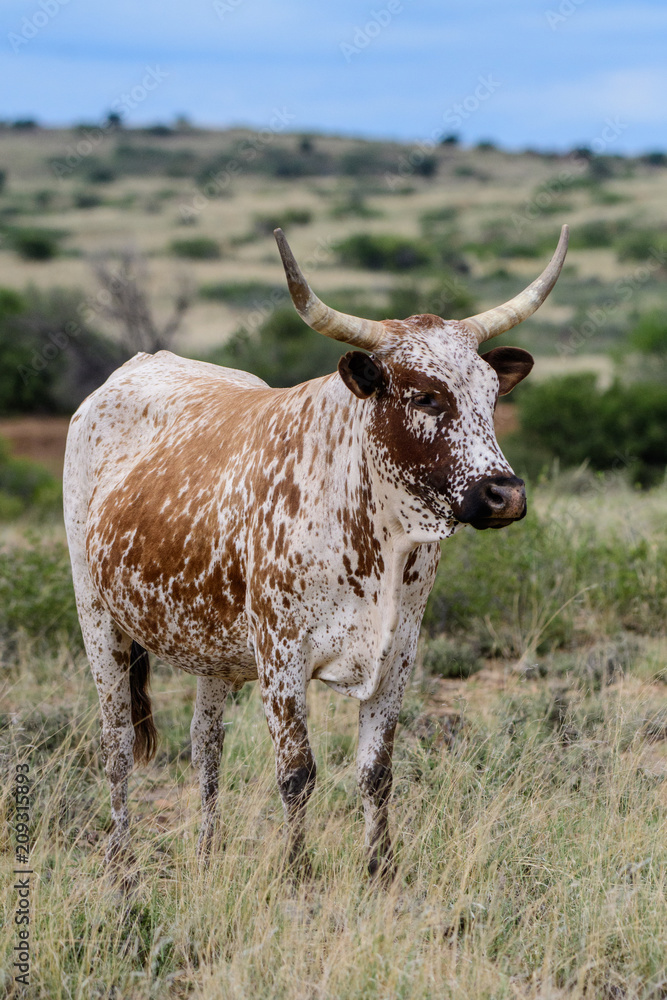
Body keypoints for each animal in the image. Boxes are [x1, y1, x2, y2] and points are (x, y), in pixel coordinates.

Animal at [63, 224, 568, 883]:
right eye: (426, 397)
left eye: (491, 394)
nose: (504, 493)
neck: (374, 541)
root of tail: (134, 368)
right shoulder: (281, 657)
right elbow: (297, 773)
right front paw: (297, 872)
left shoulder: (398, 654)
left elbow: (376, 772)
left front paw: (381, 869)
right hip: (97, 618)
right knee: (118, 745)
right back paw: (121, 867)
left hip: (209, 647)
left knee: (205, 743)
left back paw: (206, 856)